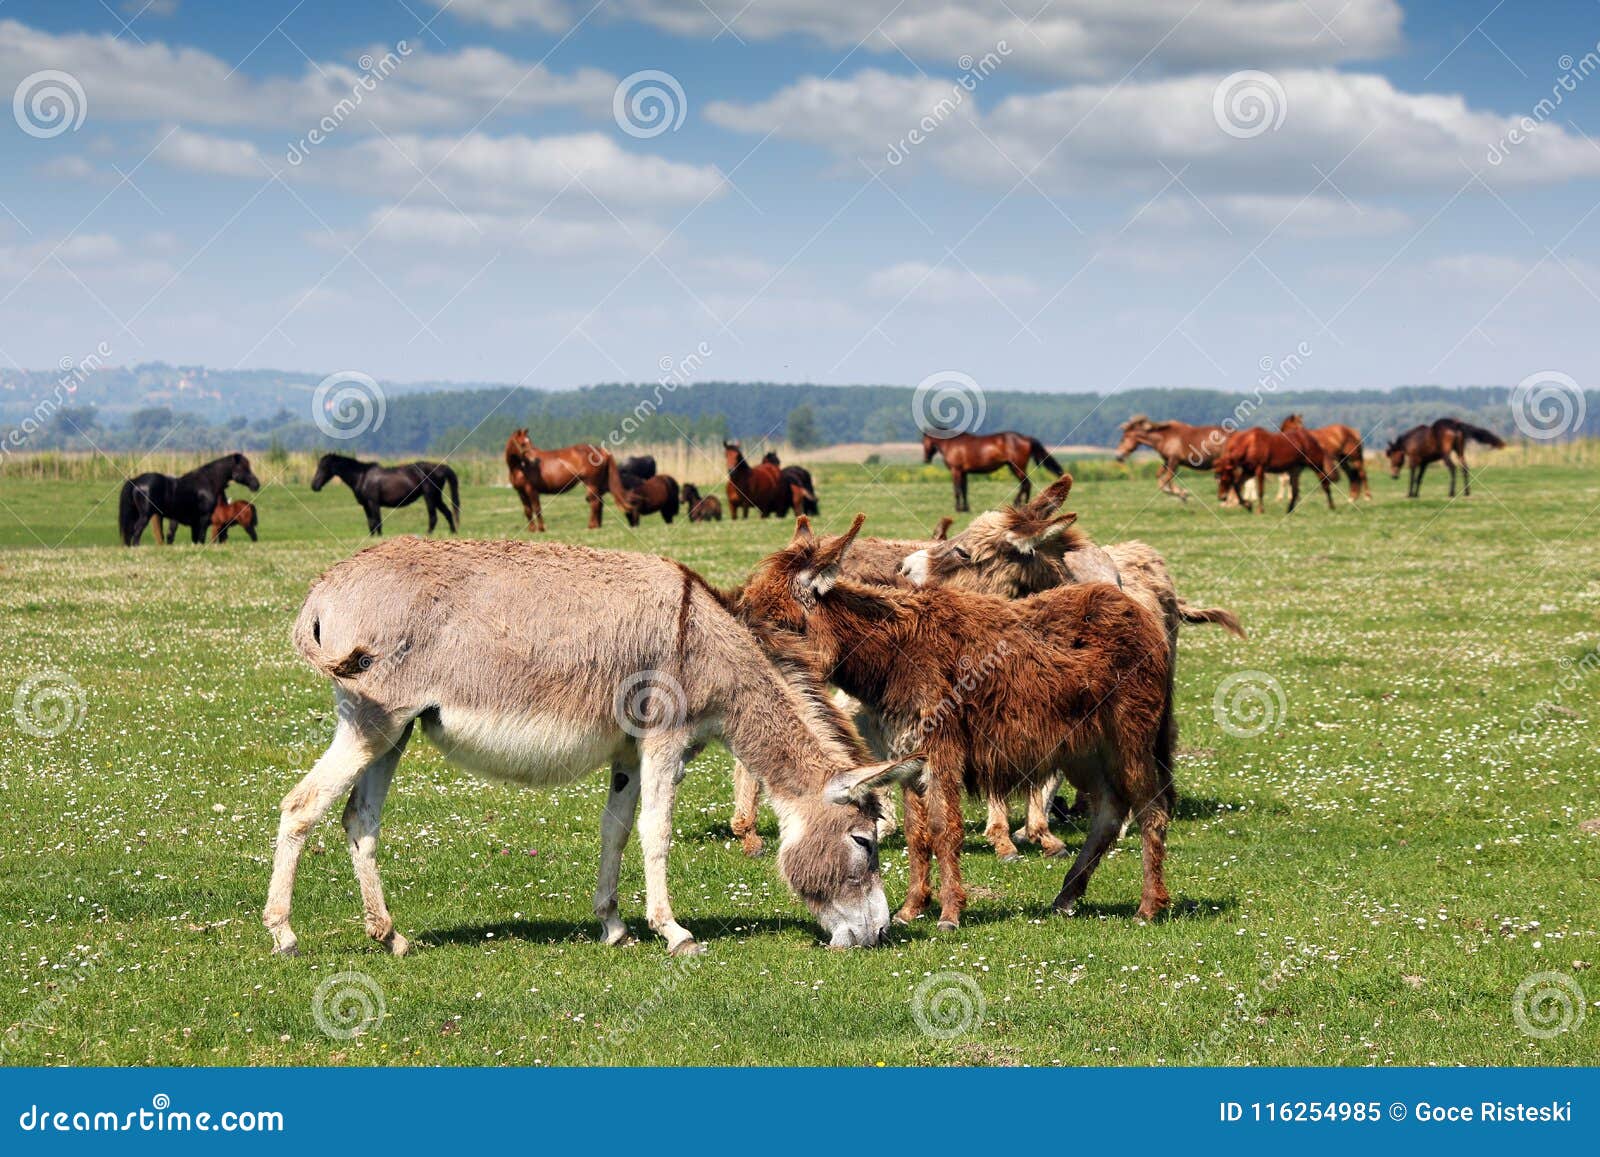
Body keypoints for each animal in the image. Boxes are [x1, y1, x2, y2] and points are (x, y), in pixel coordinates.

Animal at [119, 453, 260, 545]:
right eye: (244, 468)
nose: (256, 484)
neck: (207, 482)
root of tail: (136, 480)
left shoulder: (195, 523)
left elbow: (195, 540)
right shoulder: (203, 519)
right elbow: (201, 539)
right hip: (145, 515)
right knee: (137, 532)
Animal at [310, 454, 460, 536]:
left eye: (323, 467)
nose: (314, 486)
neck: (362, 476)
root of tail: (440, 467)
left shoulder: (373, 503)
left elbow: (377, 522)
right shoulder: (366, 505)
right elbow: (371, 523)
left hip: (429, 496)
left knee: (433, 517)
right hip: (437, 497)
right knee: (448, 513)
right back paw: (453, 533)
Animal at [505, 430, 634, 531]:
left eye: (529, 442)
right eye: (522, 443)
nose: (533, 460)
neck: (520, 468)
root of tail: (601, 451)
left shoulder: (532, 490)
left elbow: (537, 509)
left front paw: (541, 528)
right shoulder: (521, 492)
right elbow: (527, 510)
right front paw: (531, 529)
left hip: (591, 484)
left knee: (594, 502)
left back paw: (591, 526)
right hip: (600, 484)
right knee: (599, 502)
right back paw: (597, 525)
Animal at [922, 430, 1062, 512]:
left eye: (924, 441)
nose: (926, 459)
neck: (952, 443)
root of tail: (1026, 438)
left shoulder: (955, 471)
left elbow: (957, 490)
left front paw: (958, 508)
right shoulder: (963, 472)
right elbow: (964, 490)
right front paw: (966, 508)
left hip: (1017, 467)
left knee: (1026, 484)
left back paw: (1019, 505)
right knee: (1026, 484)